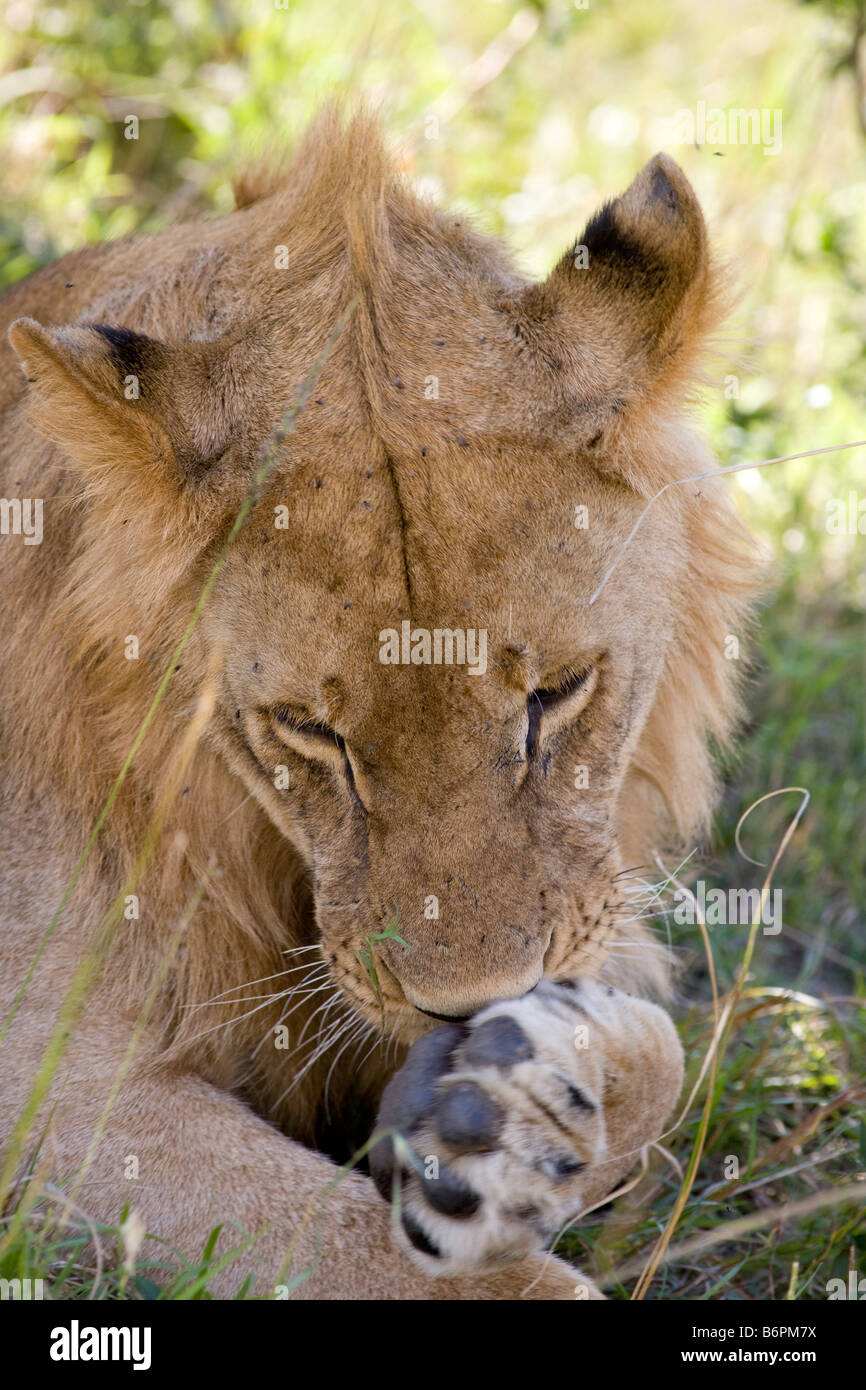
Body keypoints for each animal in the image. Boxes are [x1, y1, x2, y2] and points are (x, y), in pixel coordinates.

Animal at [0, 106, 758, 1299]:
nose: (469, 1004)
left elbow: (664, 1052)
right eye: (310, 733)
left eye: (556, 694)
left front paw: (520, 1102)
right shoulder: (43, 1079)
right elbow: (340, 1243)